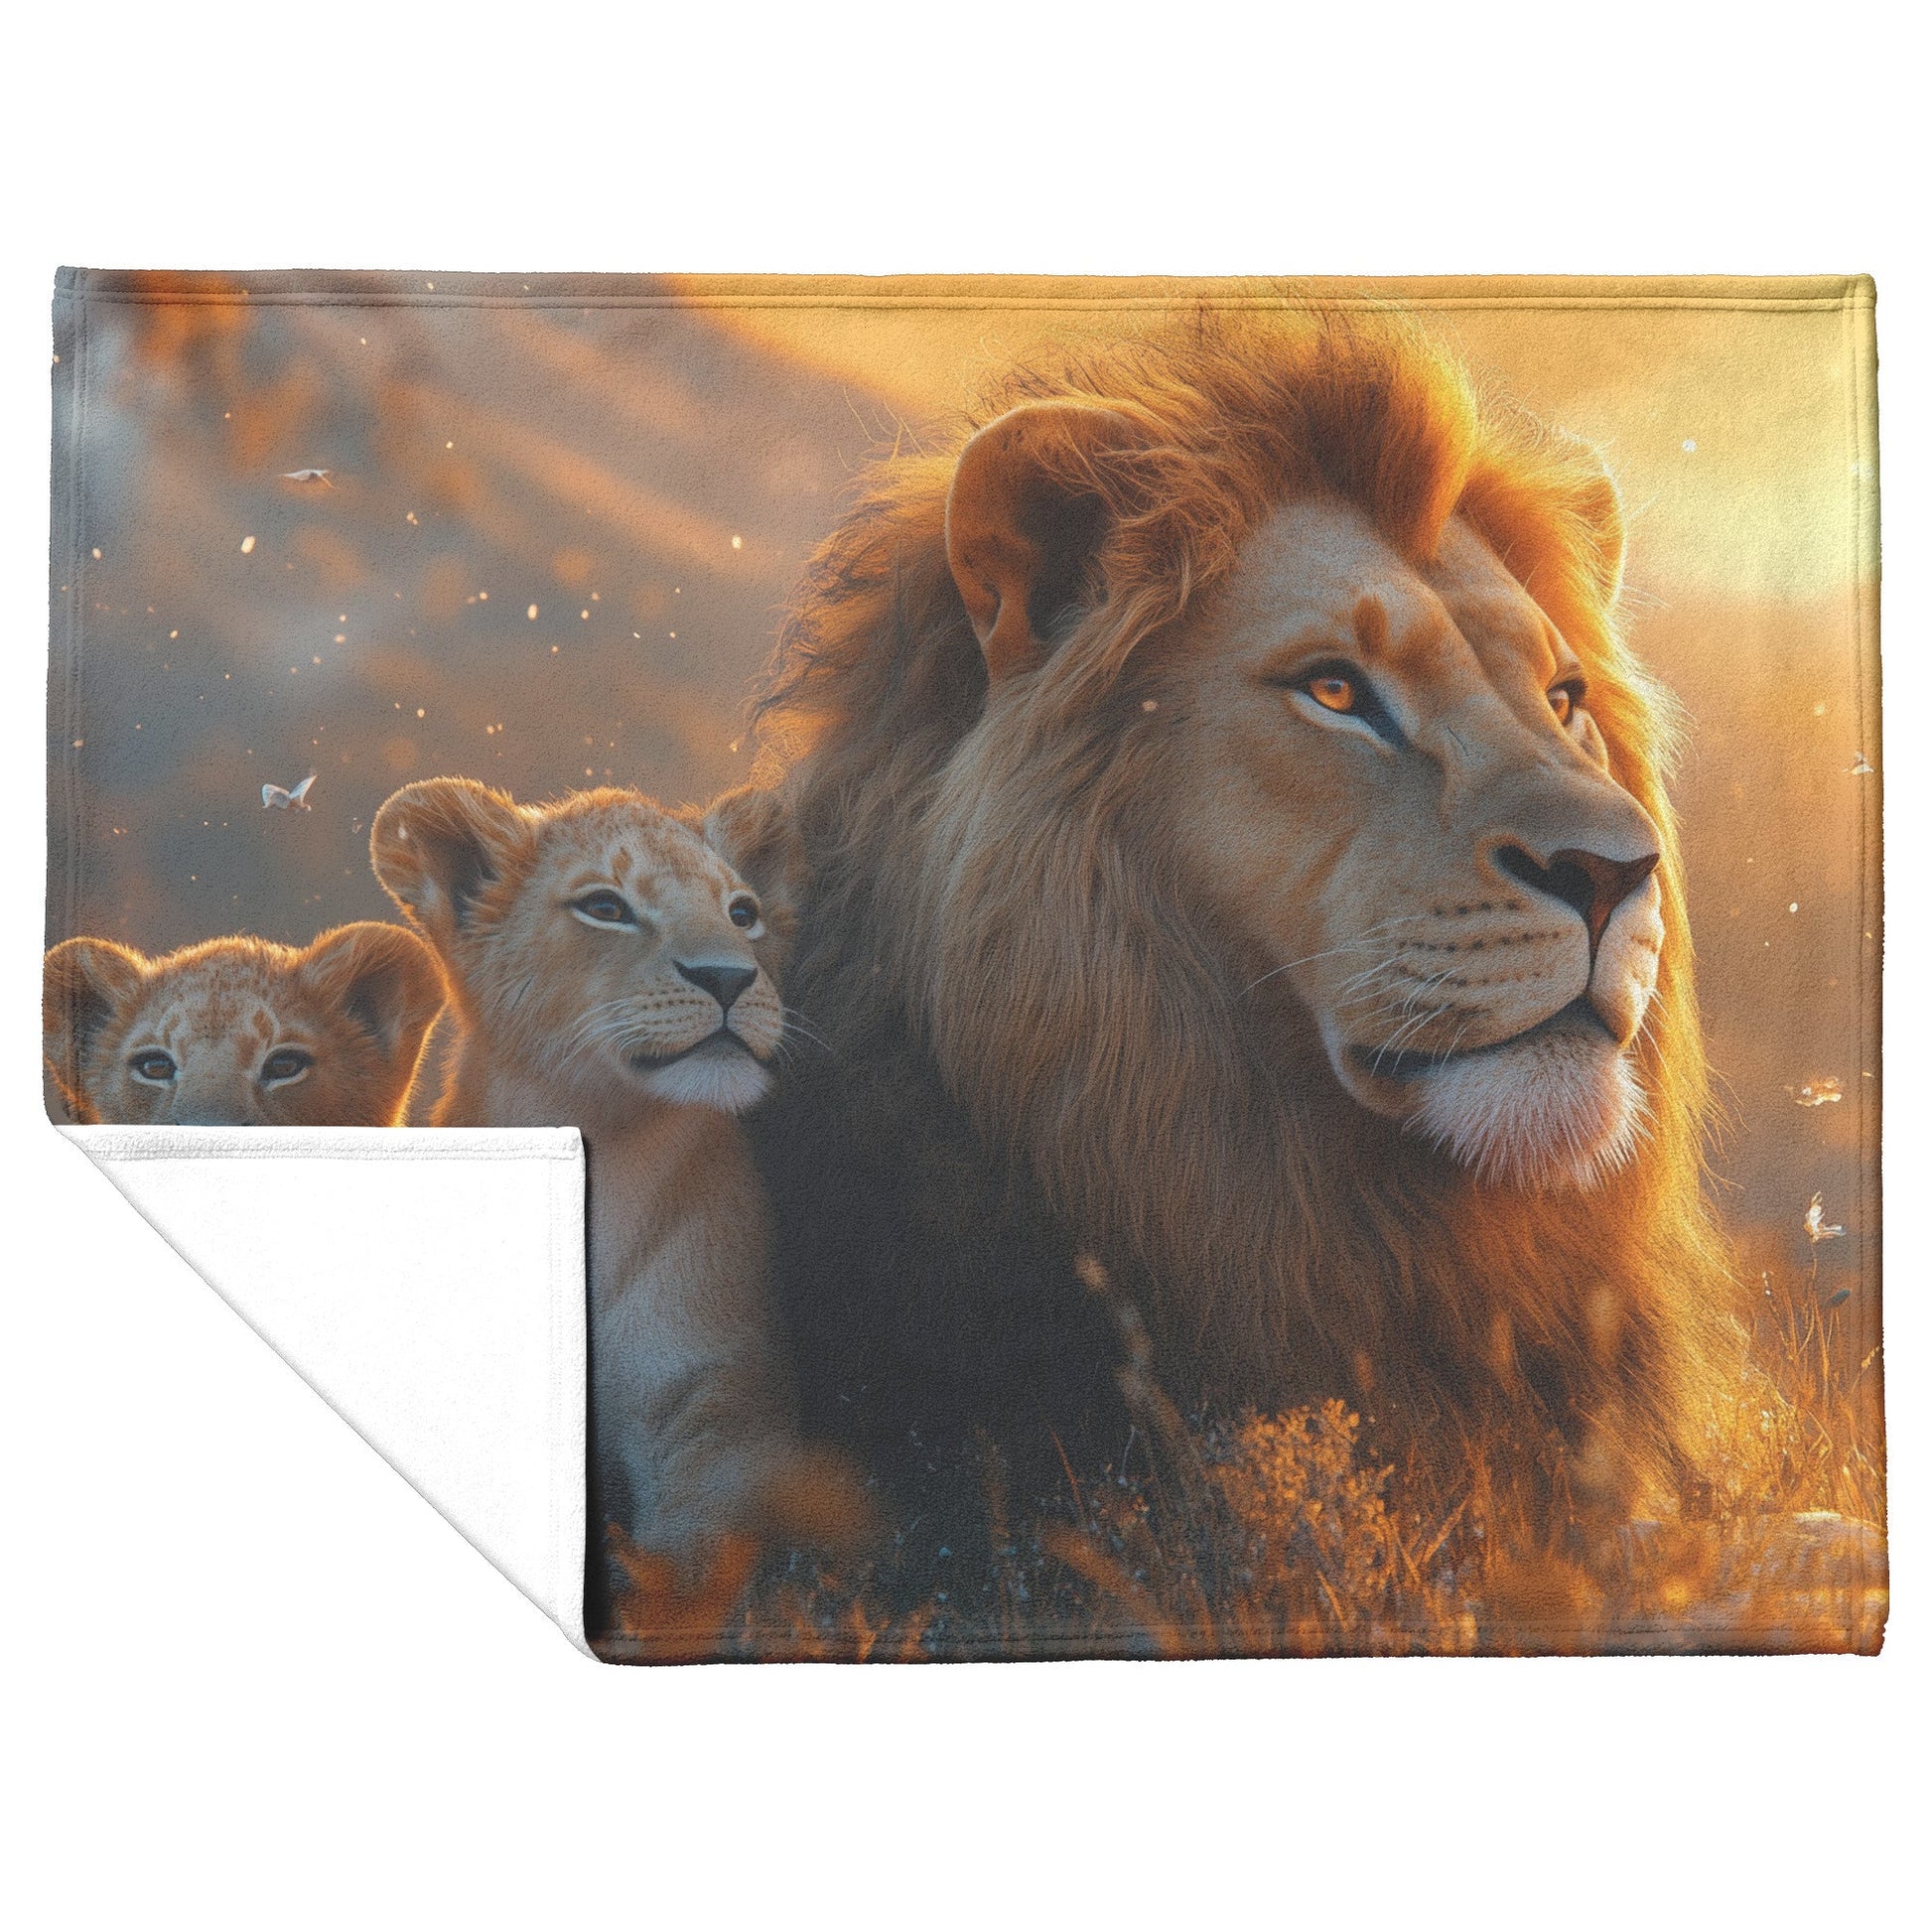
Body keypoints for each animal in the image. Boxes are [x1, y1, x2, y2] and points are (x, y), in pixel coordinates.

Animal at [369, 777, 848, 1594]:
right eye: (605, 906)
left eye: (742, 913)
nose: (730, 977)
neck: (606, 1149)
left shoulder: (715, 1394)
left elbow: (691, 1559)